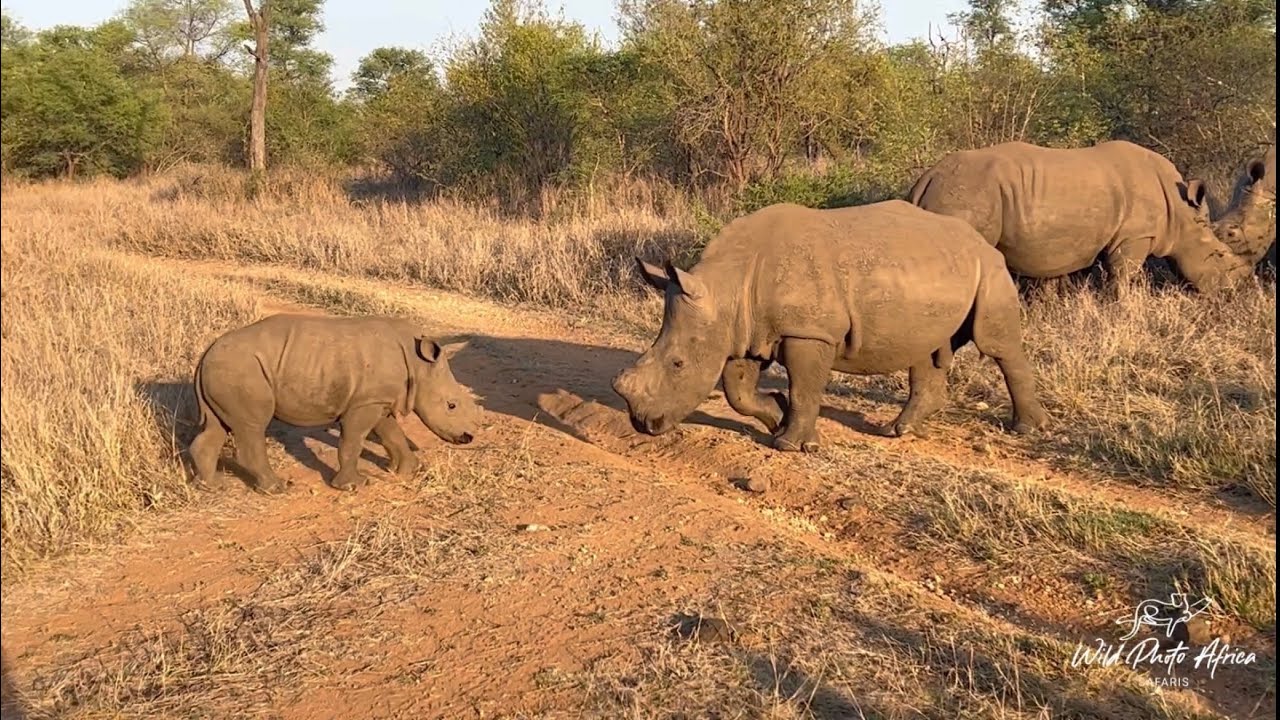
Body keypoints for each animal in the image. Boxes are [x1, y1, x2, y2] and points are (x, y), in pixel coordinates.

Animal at [190, 314, 481, 493]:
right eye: (452, 405)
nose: (468, 437)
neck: (419, 364)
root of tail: (206, 354)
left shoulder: (377, 399)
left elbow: (392, 434)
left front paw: (409, 470)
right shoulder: (364, 404)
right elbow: (353, 441)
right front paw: (353, 486)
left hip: (225, 370)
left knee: (219, 425)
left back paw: (212, 485)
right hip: (241, 370)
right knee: (252, 427)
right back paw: (278, 488)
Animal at [611, 200, 1049, 451]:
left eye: (678, 365)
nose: (643, 425)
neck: (725, 288)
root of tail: (982, 241)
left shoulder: (809, 330)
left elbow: (805, 387)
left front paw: (790, 446)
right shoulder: (744, 330)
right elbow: (738, 391)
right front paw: (776, 414)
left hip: (989, 269)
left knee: (997, 344)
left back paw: (1027, 429)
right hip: (936, 270)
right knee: (925, 347)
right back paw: (898, 431)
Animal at [907, 140, 1275, 293]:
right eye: (1220, 255)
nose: (1234, 292)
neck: (1183, 215)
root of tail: (928, 177)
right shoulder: (1134, 236)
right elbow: (1122, 277)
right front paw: (1123, 311)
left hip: (962, 193)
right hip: (970, 196)